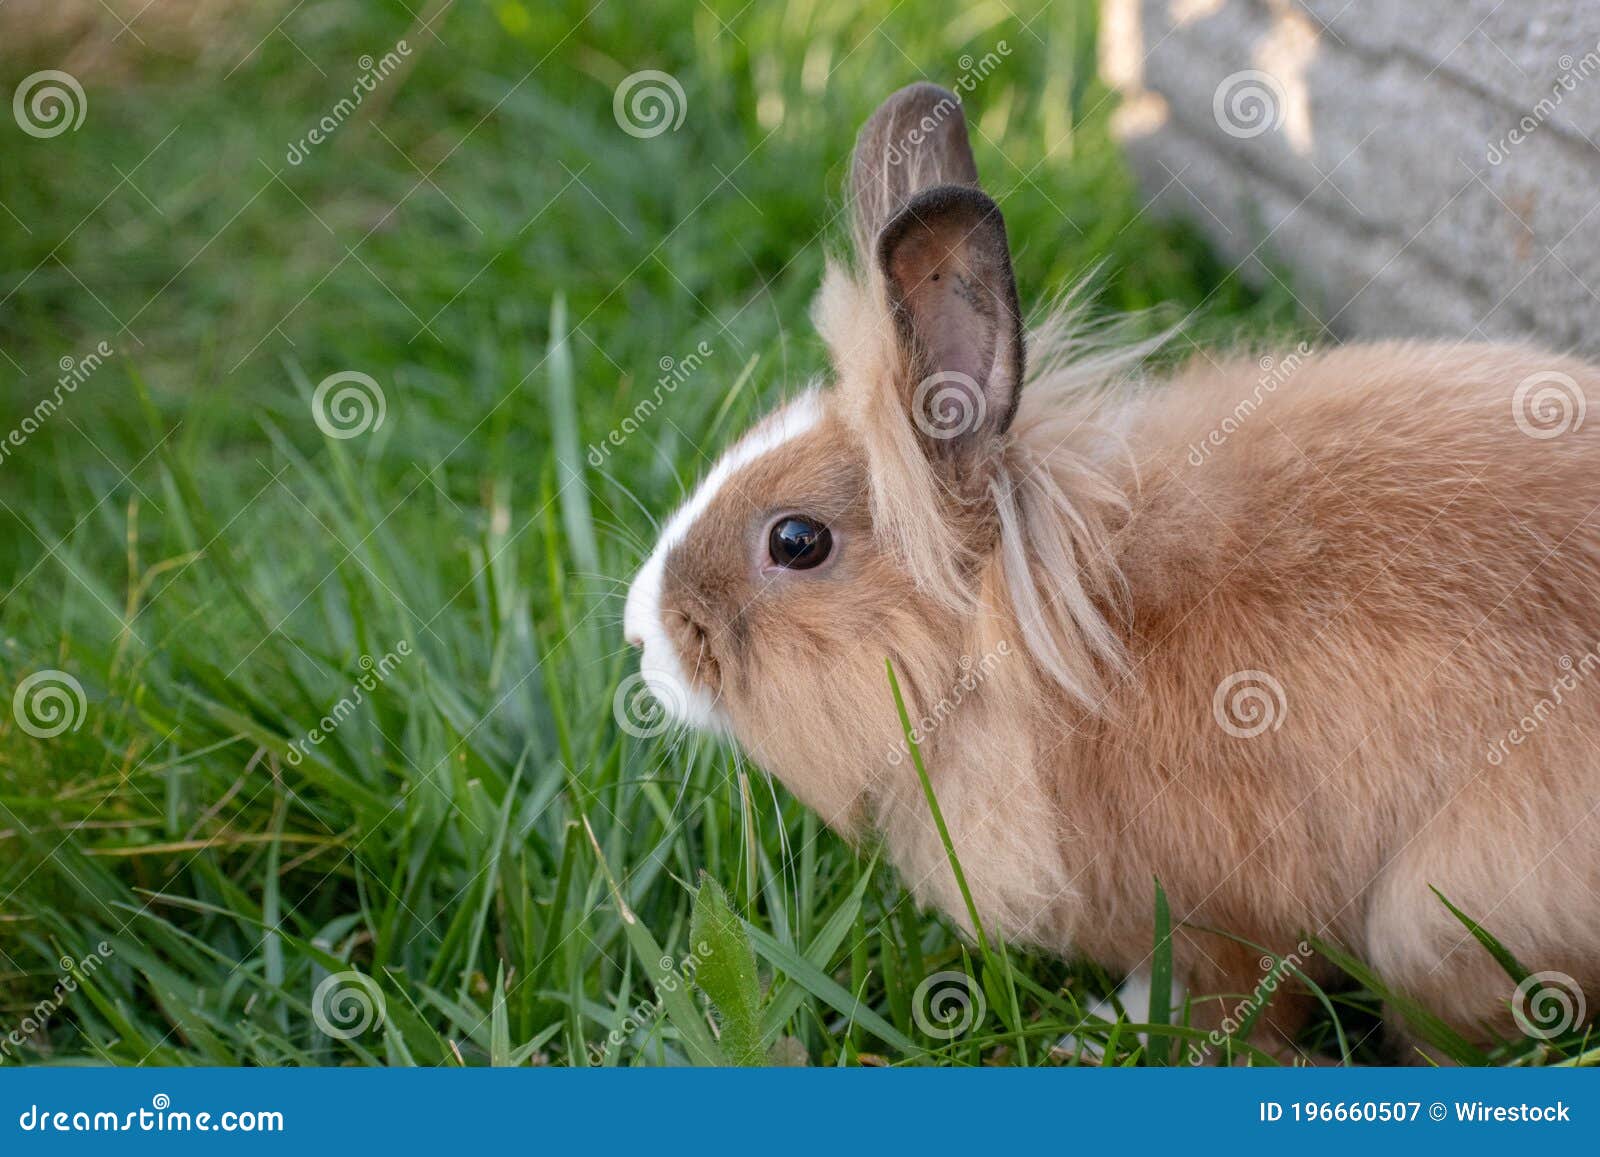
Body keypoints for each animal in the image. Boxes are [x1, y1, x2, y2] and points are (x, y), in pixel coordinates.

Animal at [622, 82, 1600, 1061]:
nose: (641, 638)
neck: (1040, 649)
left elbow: (1217, 1001)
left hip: (1425, 923)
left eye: (796, 541)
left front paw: (1096, 1040)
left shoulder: (1227, 917)